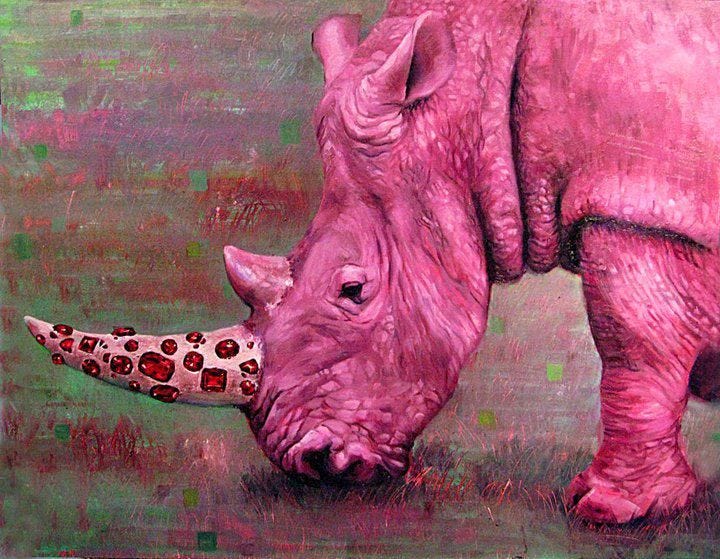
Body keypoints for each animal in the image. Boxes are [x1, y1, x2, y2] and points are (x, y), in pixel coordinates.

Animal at [25, 0, 720, 524]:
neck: (468, 101)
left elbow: (631, 344)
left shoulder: (636, 198)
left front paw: (606, 510)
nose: (311, 466)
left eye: (353, 290)